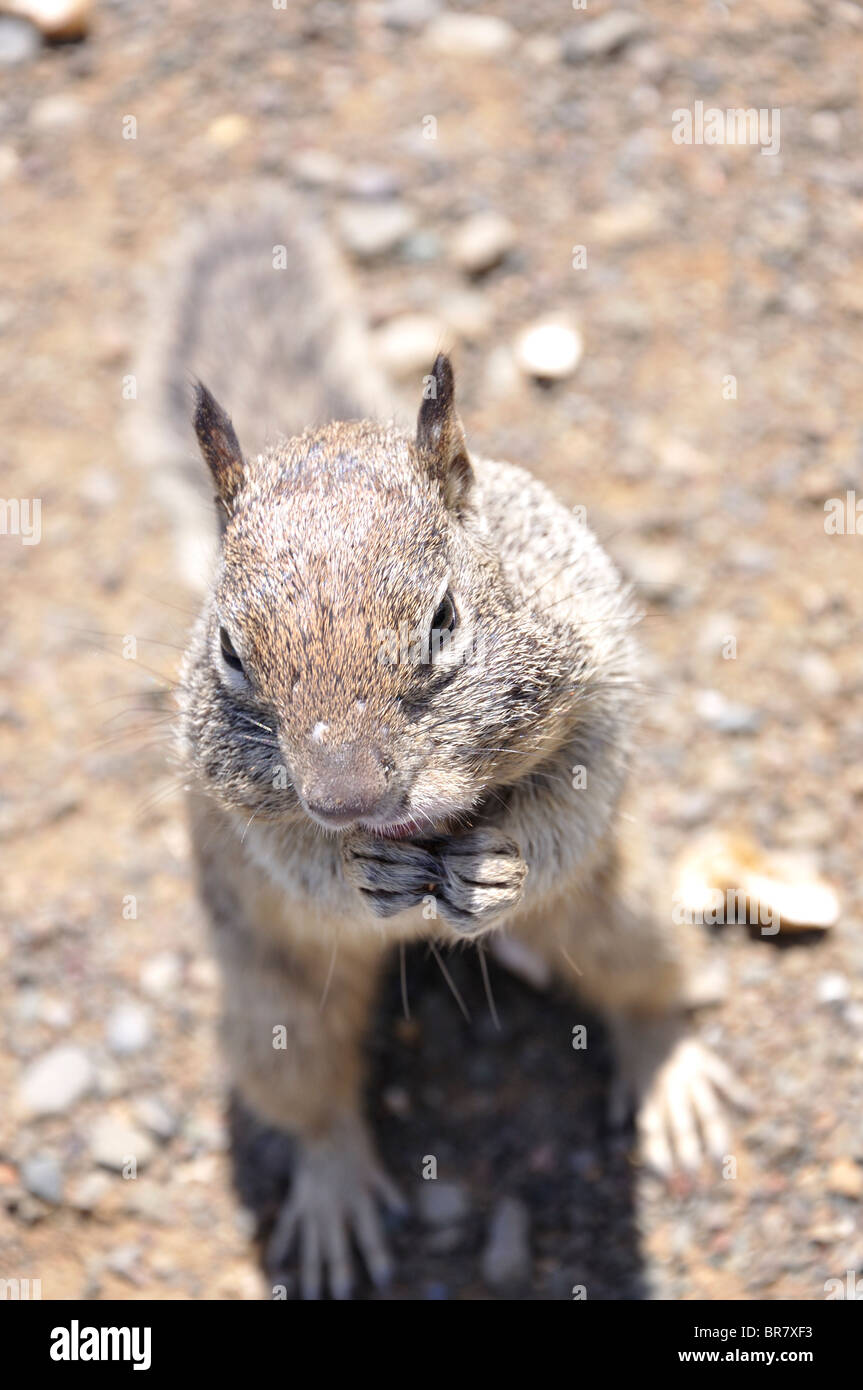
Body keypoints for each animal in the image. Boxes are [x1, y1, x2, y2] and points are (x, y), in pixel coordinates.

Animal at [134, 191, 745, 1299]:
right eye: (230, 651)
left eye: (444, 619)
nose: (344, 798)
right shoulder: (228, 798)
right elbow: (283, 852)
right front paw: (350, 870)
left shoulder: (597, 677)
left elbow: (573, 797)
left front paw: (502, 864)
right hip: (266, 1016)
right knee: (314, 1103)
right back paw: (331, 1194)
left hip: (628, 911)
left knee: (646, 987)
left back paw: (669, 1077)